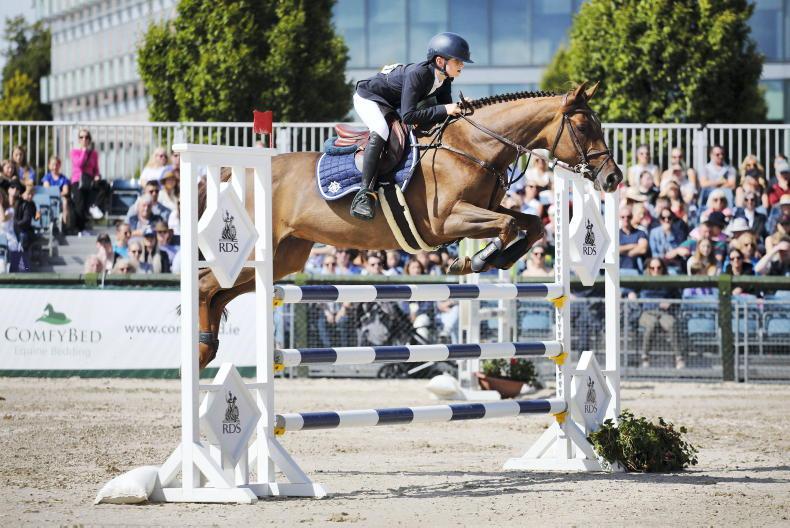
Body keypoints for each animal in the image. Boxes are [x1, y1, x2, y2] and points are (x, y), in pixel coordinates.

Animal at [195, 81, 623, 368]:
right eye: (584, 127)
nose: (613, 179)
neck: (473, 147)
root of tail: (234, 175)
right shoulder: (447, 220)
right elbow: (506, 226)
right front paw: (477, 260)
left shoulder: (482, 210)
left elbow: (531, 225)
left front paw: (496, 259)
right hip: (257, 251)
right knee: (205, 285)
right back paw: (201, 349)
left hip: (284, 258)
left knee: (220, 292)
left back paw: (207, 347)